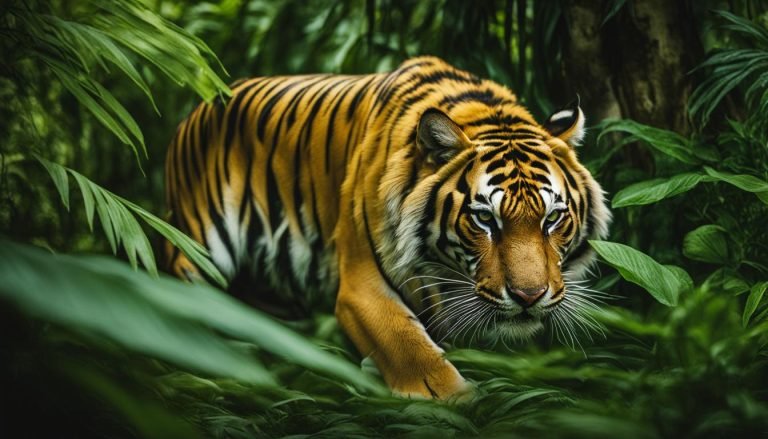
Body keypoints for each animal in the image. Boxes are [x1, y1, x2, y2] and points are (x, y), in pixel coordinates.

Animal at [165, 56, 611, 399]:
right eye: (485, 218)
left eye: (552, 218)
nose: (528, 297)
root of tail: (200, 106)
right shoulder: (360, 286)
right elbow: (408, 347)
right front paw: (457, 403)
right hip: (194, 255)